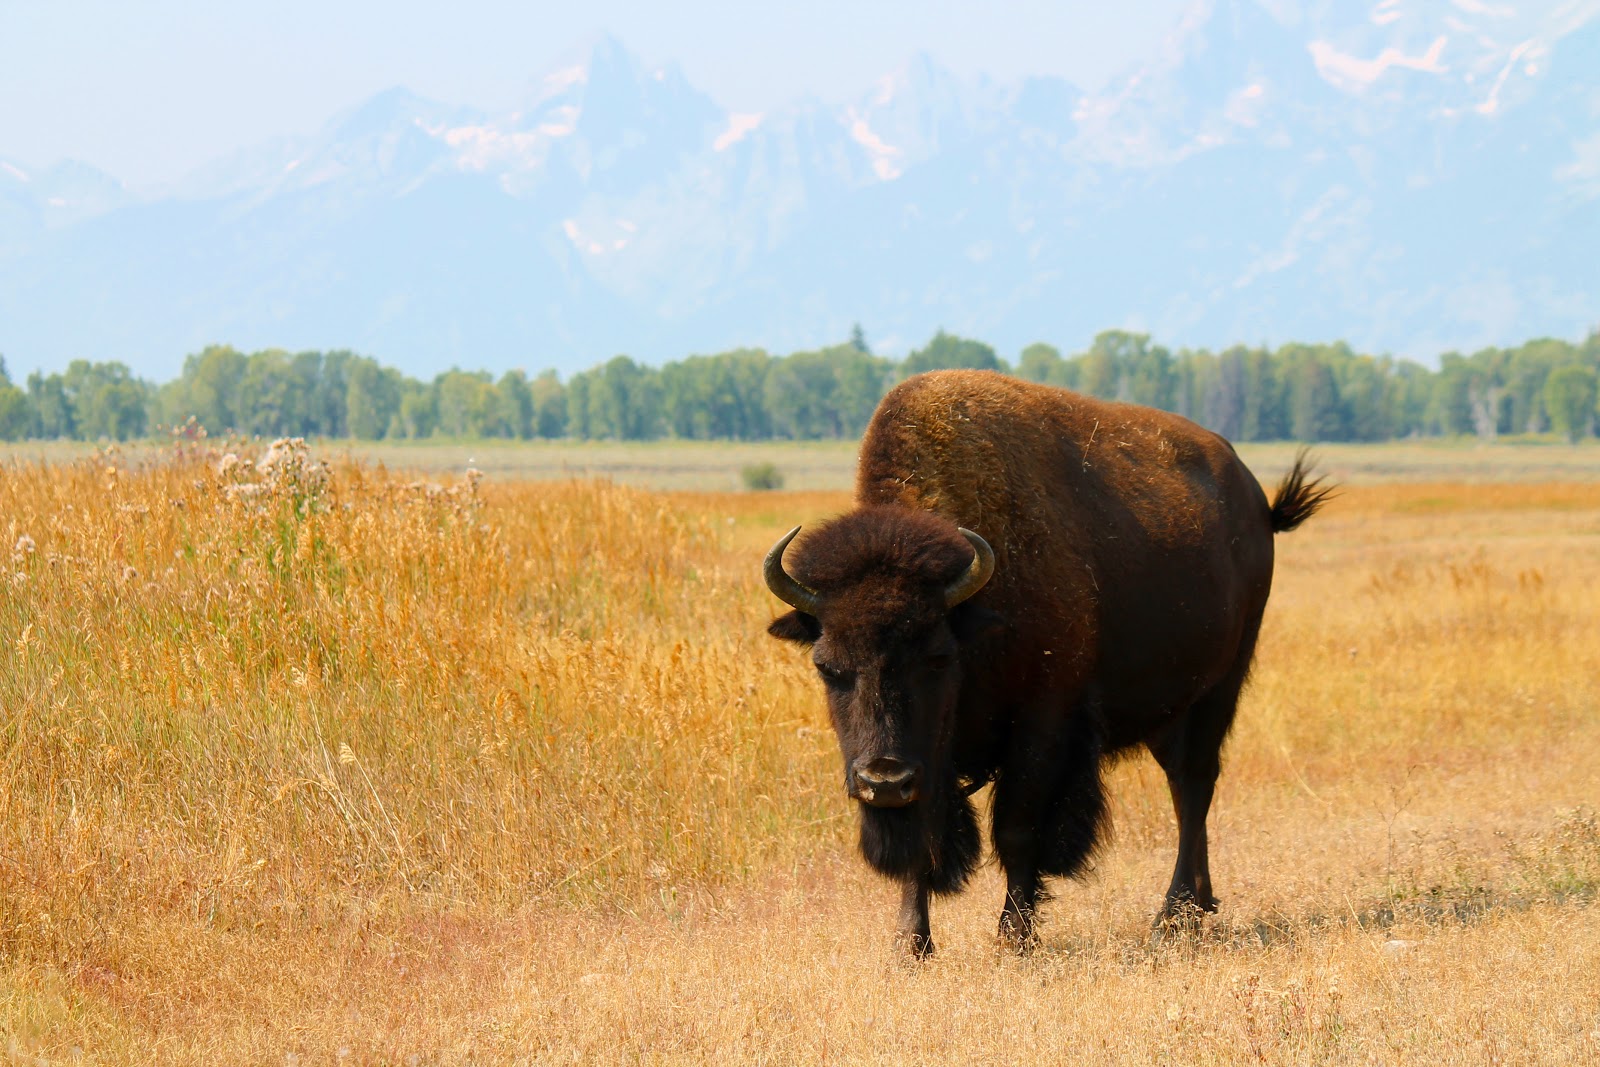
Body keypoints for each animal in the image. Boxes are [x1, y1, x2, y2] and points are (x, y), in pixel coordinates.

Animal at [764, 370, 1331, 956]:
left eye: (938, 657)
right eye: (827, 667)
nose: (883, 779)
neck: (974, 608)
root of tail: (1255, 498)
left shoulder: (1041, 725)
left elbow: (1018, 829)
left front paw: (1014, 937)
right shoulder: (928, 765)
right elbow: (923, 842)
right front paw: (910, 944)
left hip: (1221, 686)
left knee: (1196, 784)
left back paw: (1172, 915)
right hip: (1169, 710)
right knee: (1182, 785)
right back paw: (1200, 904)